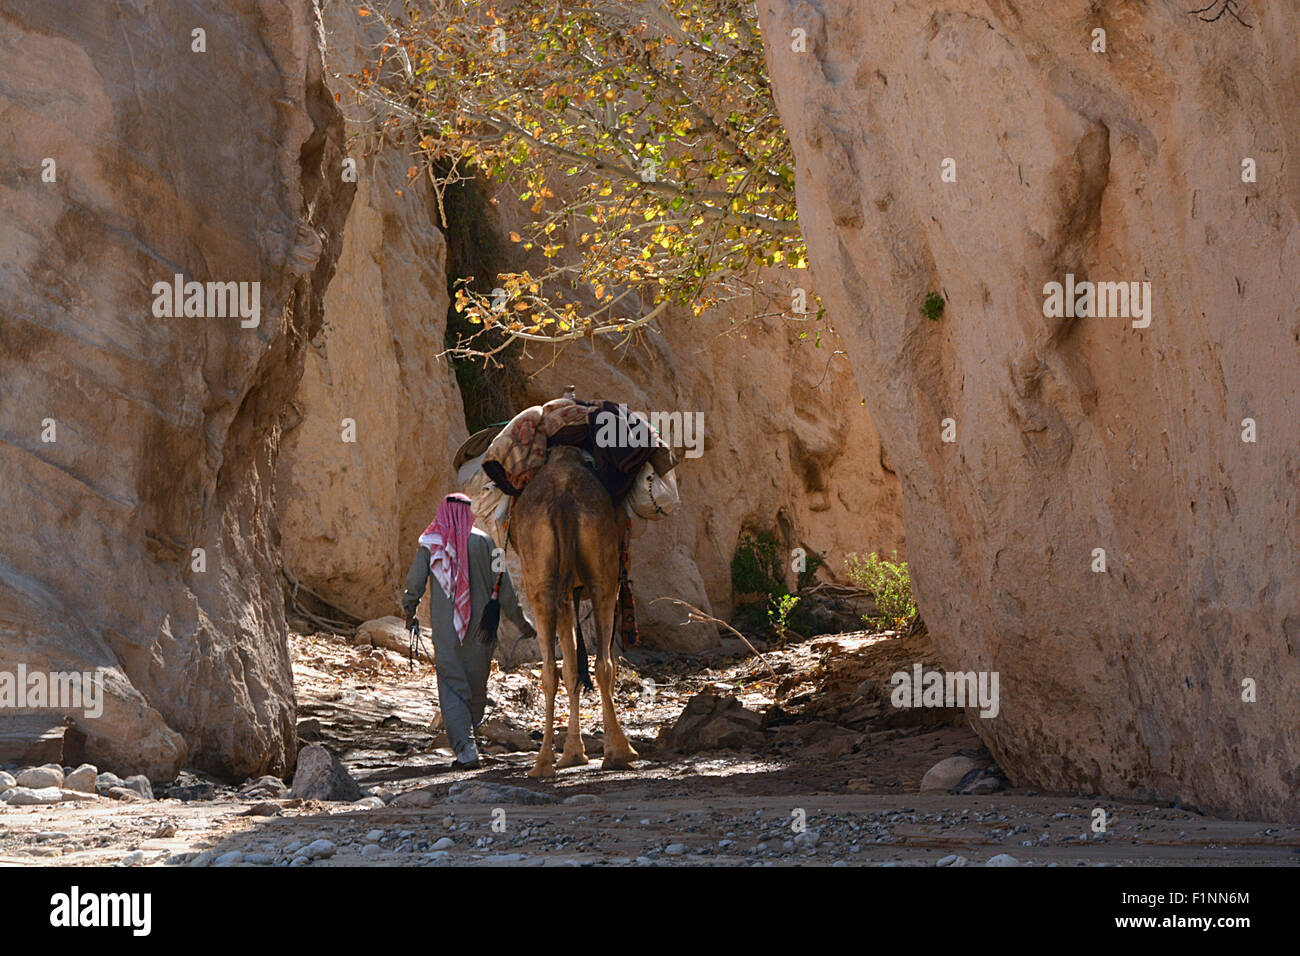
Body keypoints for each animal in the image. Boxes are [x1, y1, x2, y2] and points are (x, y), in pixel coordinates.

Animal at [509, 444, 639, 777]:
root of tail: (563, 498)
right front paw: (580, 753)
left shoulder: (564, 591)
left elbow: (569, 670)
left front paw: (572, 753)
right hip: (603, 576)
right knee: (604, 664)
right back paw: (620, 752)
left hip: (541, 580)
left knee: (550, 670)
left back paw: (543, 764)